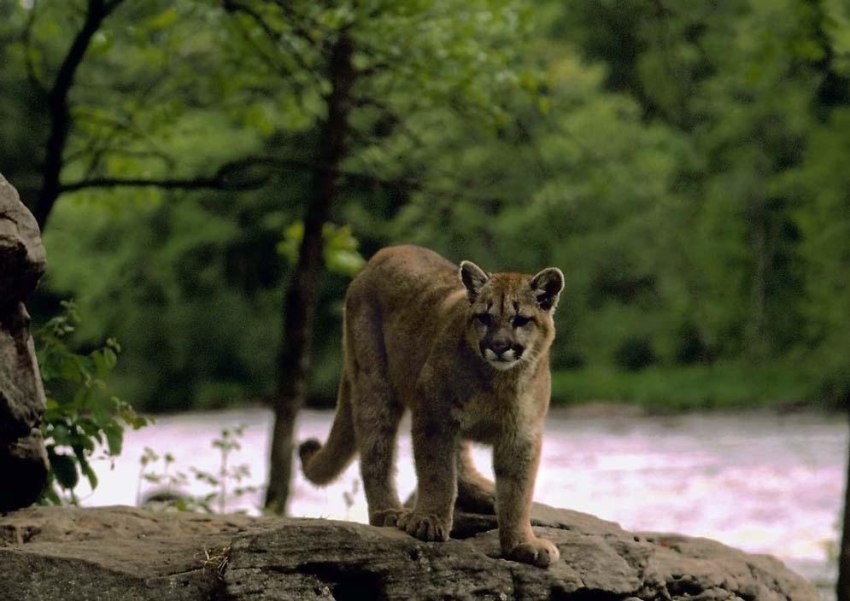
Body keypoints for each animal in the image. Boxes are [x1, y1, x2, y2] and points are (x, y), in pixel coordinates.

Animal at [299, 245, 564, 567]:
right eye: (484, 317)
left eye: (520, 319)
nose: (499, 346)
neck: (499, 382)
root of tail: (385, 252)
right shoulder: (434, 413)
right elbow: (437, 471)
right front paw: (428, 521)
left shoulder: (522, 434)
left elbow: (517, 491)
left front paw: (522, 544)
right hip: (374, 384)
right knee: (375, 452)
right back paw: (389, 512)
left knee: (459, 456)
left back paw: (486, 493)